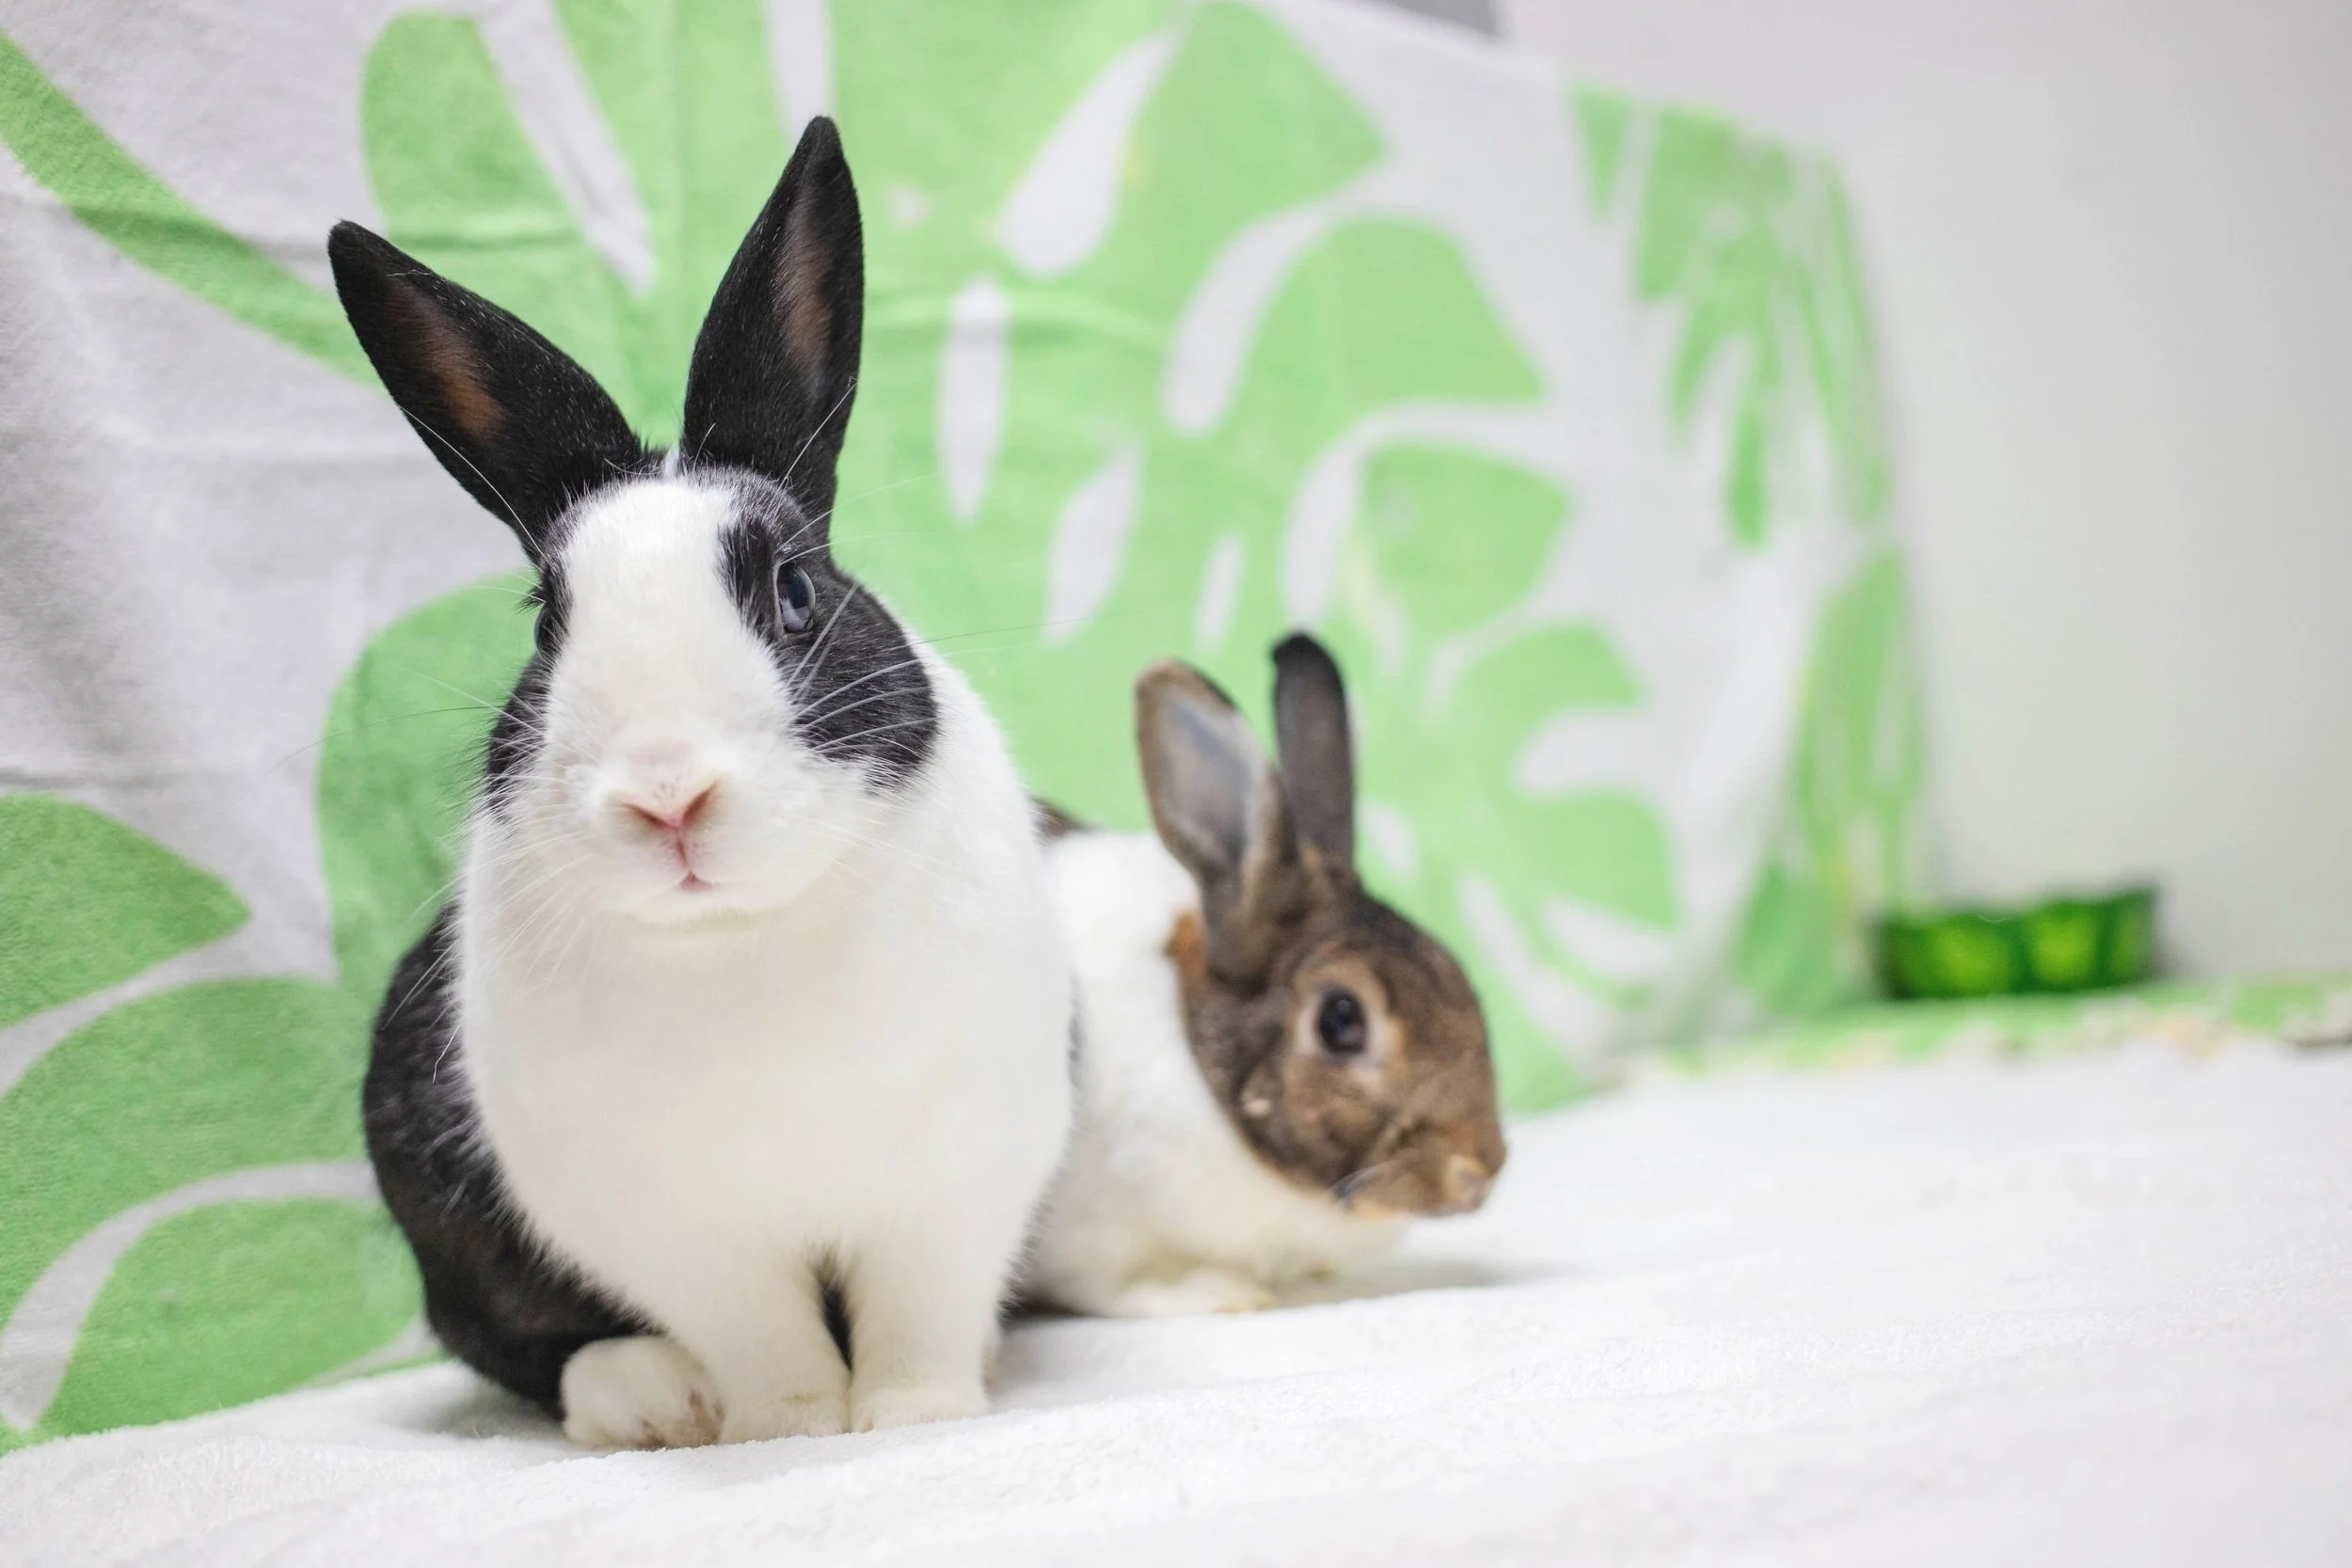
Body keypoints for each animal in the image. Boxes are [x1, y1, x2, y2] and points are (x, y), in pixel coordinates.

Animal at [343, 117, 1072, 1448]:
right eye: (548, 622)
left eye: (793, 589)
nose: (667, 795)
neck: (739, 930)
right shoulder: (683, 1233)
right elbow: (762, 1335)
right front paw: (786, 1426)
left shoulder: (951, 1188)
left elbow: (917, 1315)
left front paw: (914, 1417)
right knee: (506, 1334)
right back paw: (647, 1396)